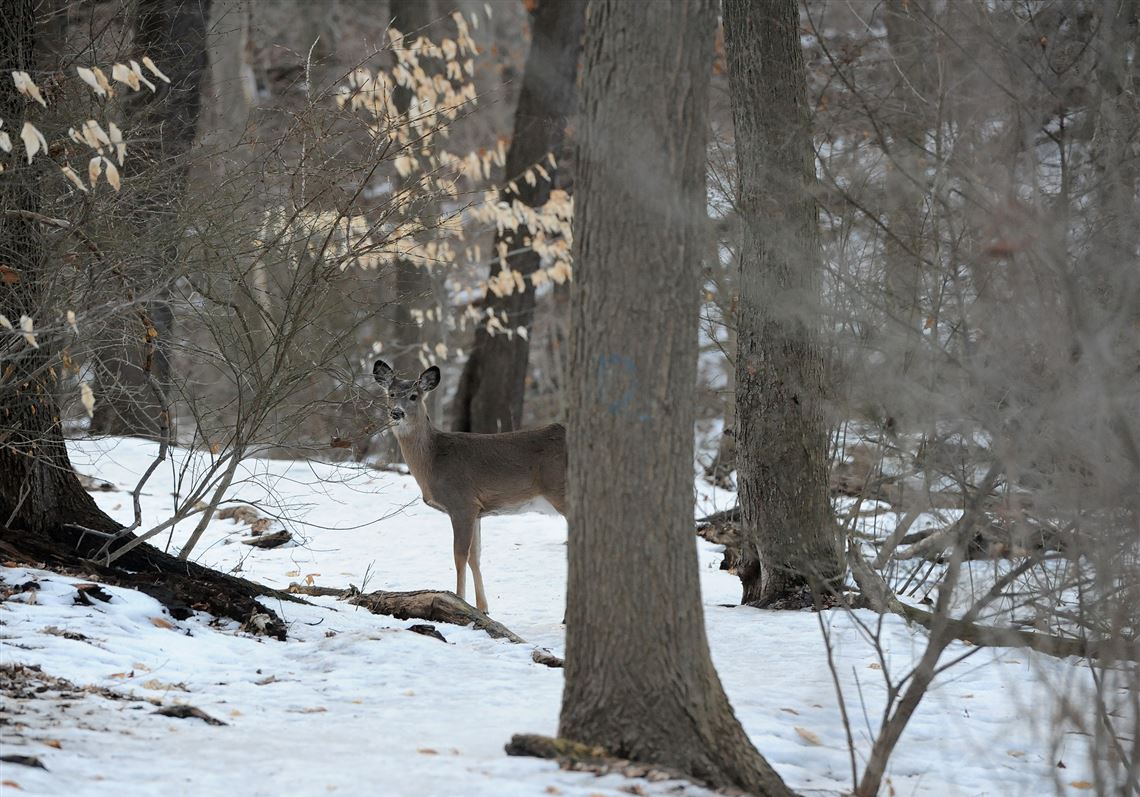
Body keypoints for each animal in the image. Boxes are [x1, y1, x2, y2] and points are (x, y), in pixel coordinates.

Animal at [373, 360, 567, 613]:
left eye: (414, 396)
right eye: (392, 394)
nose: (396, 412)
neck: (433, 460)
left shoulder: (461, 503)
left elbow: (459, 555)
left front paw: (458, 600)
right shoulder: (478, 510)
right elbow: (476, 556)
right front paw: (483, 608)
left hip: (562, 490)